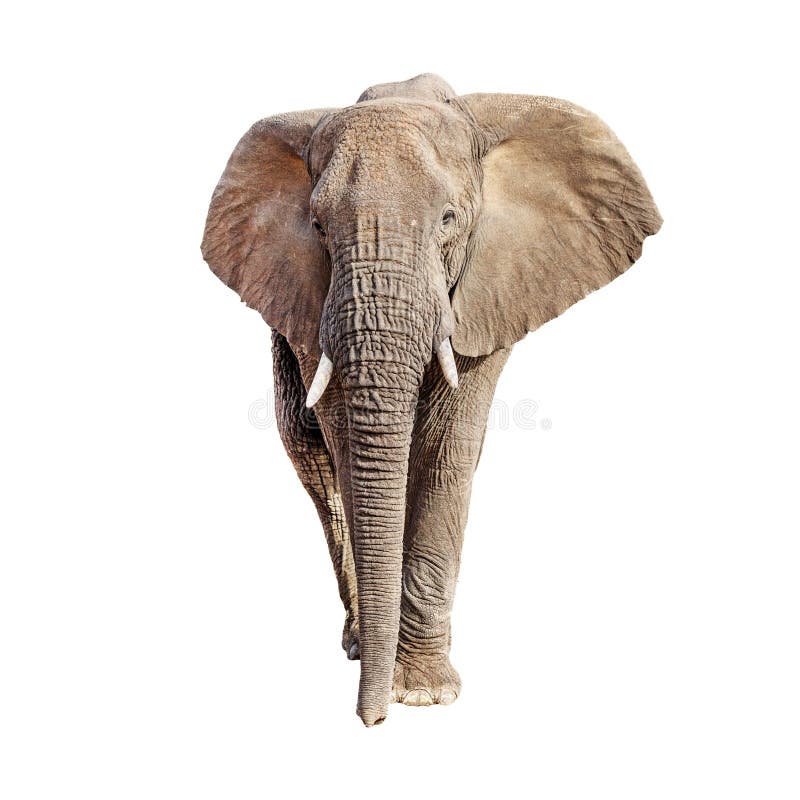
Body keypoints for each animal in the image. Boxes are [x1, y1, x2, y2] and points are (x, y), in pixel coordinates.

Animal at [201, 73, 661, 726]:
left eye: (448, 220)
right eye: (316, 227)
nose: (370, 721)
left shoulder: (488, 284)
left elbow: (448, 444)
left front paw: (421, 693)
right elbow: (345, 437)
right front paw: (393, 674)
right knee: (307, 449)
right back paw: (358, 643)